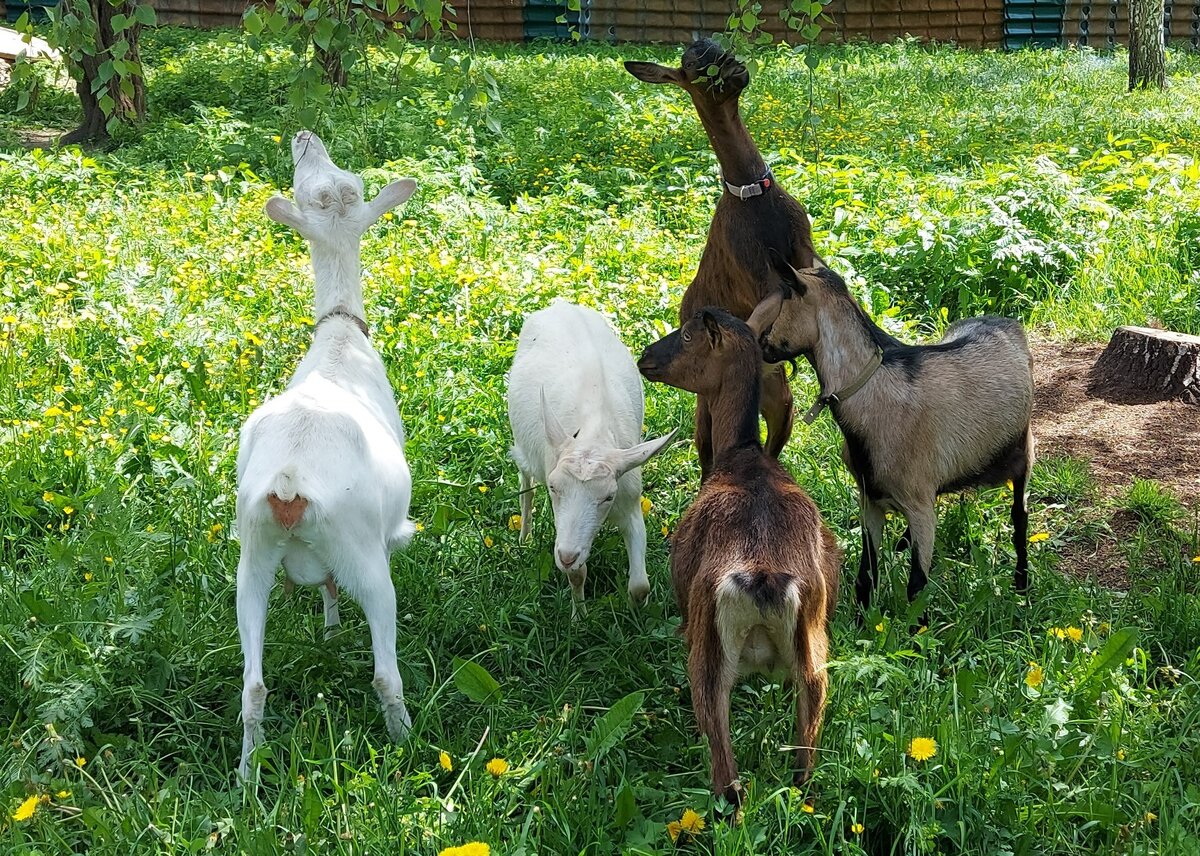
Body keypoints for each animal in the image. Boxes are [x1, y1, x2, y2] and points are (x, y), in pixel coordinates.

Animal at [236, 130, 420, 777]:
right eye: (305, 182)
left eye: (344, 180)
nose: (305, 136)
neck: (340, 336)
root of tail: (290, 481)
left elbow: (326, 589)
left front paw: (330, 631)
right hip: (365, 553)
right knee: (386, 675)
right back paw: (406, 746)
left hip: (251, 558)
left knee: (252, 687)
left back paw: (246, 777)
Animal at [506, 298, 676, 614]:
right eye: (553, 488)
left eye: (607, 497)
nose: (567, 556)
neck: (593, 432)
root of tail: (561, 304)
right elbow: (577, 574)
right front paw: (579, 617)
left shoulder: (630, 496)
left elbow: (640, 584)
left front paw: (637, 613)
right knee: (526, 484)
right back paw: (524, 537)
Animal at [624, 38, 820, 480]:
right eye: (694, 66)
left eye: (716, 47)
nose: (728, 61)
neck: (751, 194)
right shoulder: (759, 275)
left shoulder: (804, 247)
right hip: (705, 402)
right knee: (707, 451)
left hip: (780, 403)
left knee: (770, 445)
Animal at [638, 303, 844, 806]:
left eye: (687, 335)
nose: (644, 357)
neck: (741, 456)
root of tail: (764, 579)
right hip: (814, 650)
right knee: (803, 766)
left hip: (708, 649)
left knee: (727, 781)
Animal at [758, 256, 1032, 609]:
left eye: (785, 300)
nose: (763, 344)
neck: (874, 390)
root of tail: (1005, 322)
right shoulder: (870, 500)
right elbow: (866, 578)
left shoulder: (919, 506)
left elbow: (917, 588)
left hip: (1023, 451)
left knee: (1019, 516)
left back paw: (1022, 584)